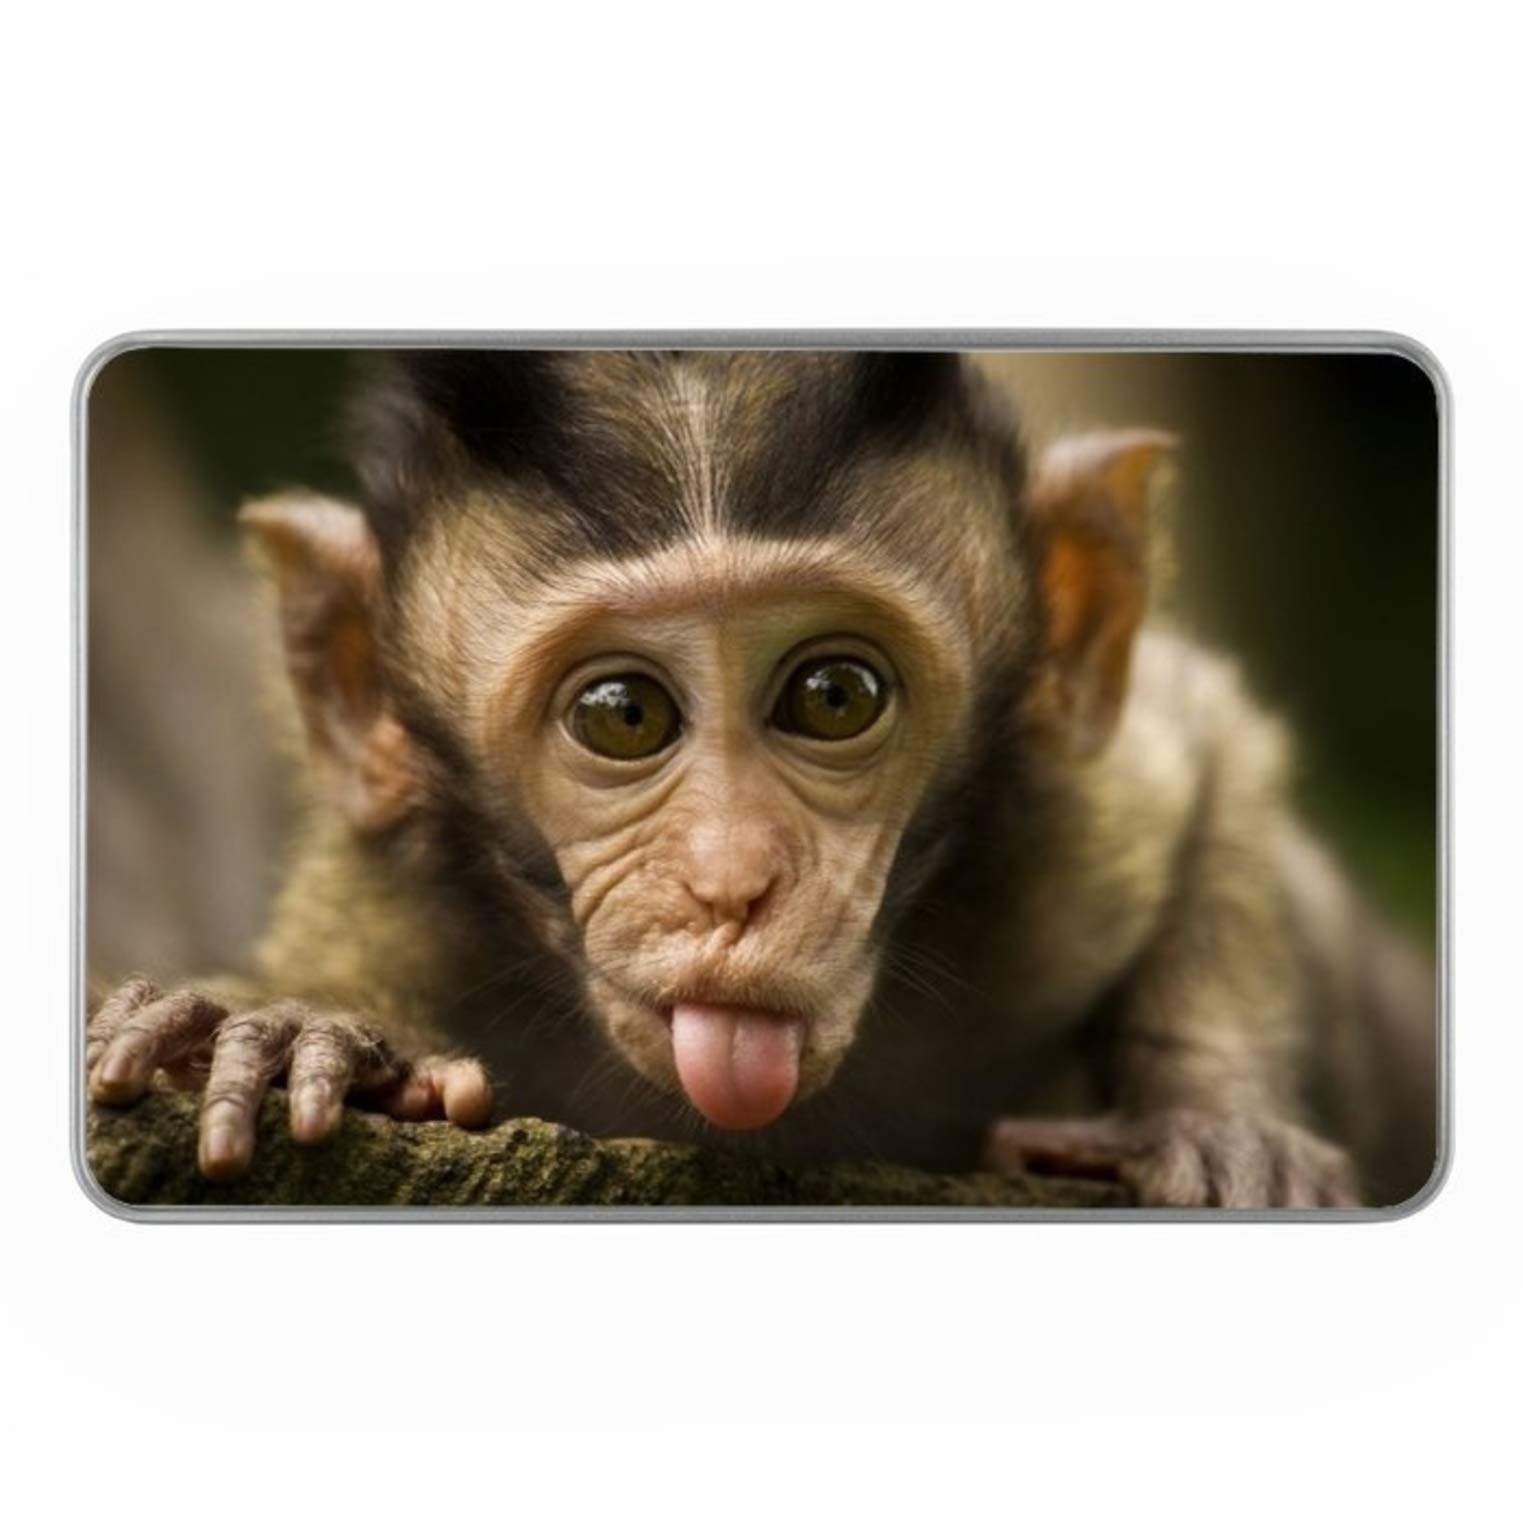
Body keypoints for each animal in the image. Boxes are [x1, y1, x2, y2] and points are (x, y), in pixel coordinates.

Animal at [85, 350, 1438, 1208]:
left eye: (832, 695)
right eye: (622, 714)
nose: (731, 883)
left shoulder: (1074, 833)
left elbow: (1214, 750)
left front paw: (1212, 1119)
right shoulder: (394, 904)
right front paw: (289, 1029)